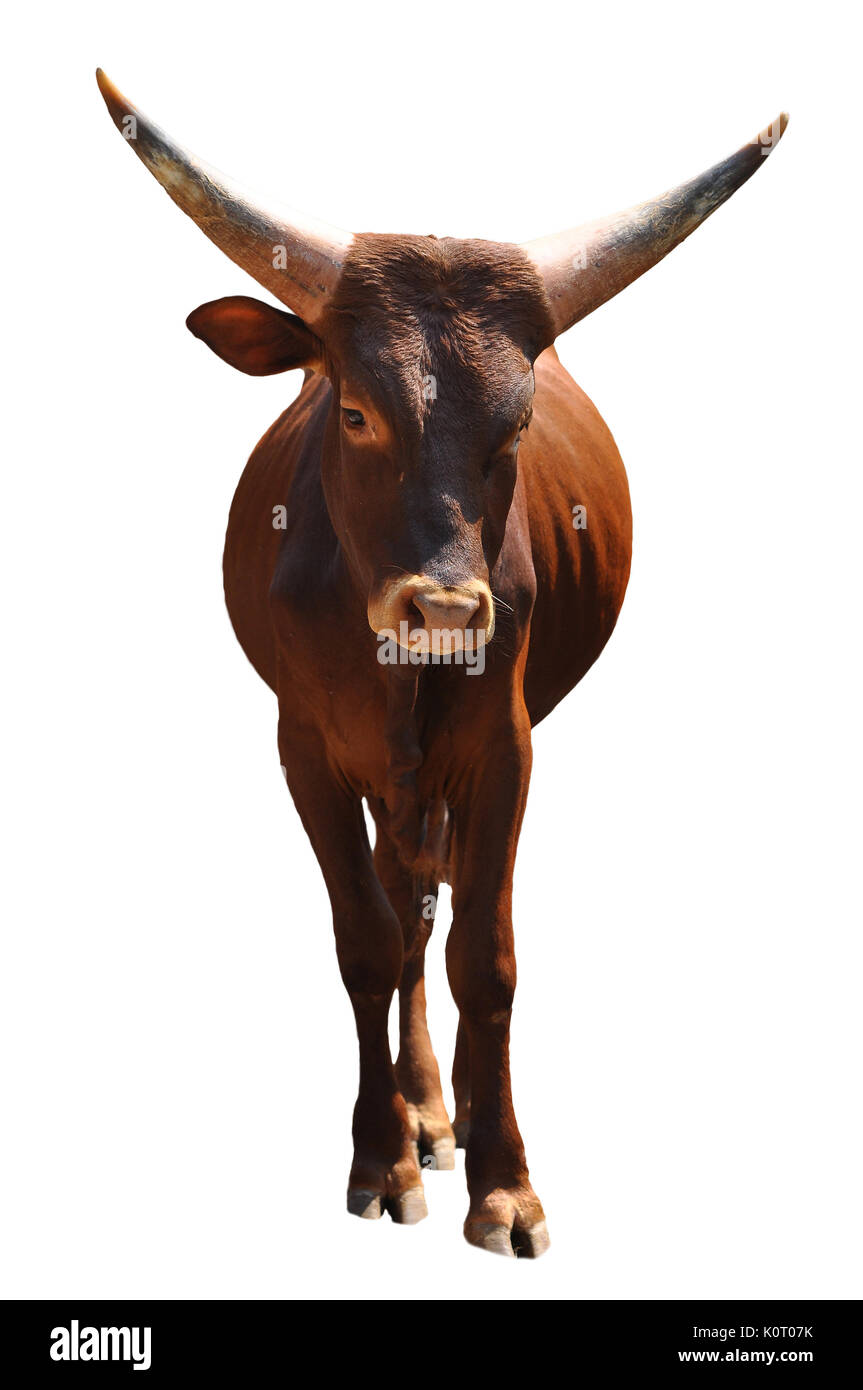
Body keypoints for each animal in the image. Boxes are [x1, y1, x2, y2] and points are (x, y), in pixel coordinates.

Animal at [97, 70, 787, 1257]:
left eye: (515, 428)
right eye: (354, 410)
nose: (446, 608)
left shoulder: (501, 745)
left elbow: (486, 953)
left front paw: (505, 1183)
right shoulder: (305, 750)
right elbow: (368, 941)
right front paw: (381, 1153)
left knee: (439, 896)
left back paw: (454, 1103)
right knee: (404, 902)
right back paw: (422, 1109)